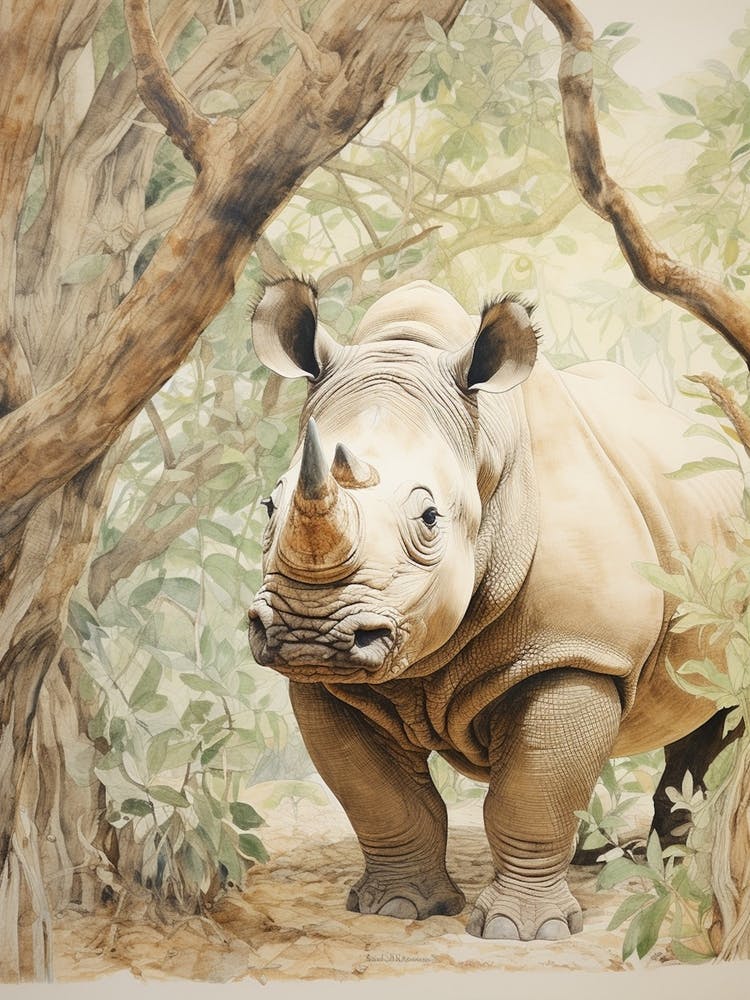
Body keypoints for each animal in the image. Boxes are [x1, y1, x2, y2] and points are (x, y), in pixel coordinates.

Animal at [247, 277, 741, 941]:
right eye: (269, 507)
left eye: (430, 518)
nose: (309, 635)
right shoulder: (326, 683)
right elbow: (379, 795)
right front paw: (396, 908)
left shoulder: (576, 651)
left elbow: (531, 793)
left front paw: (522, 932)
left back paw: (665, 870)